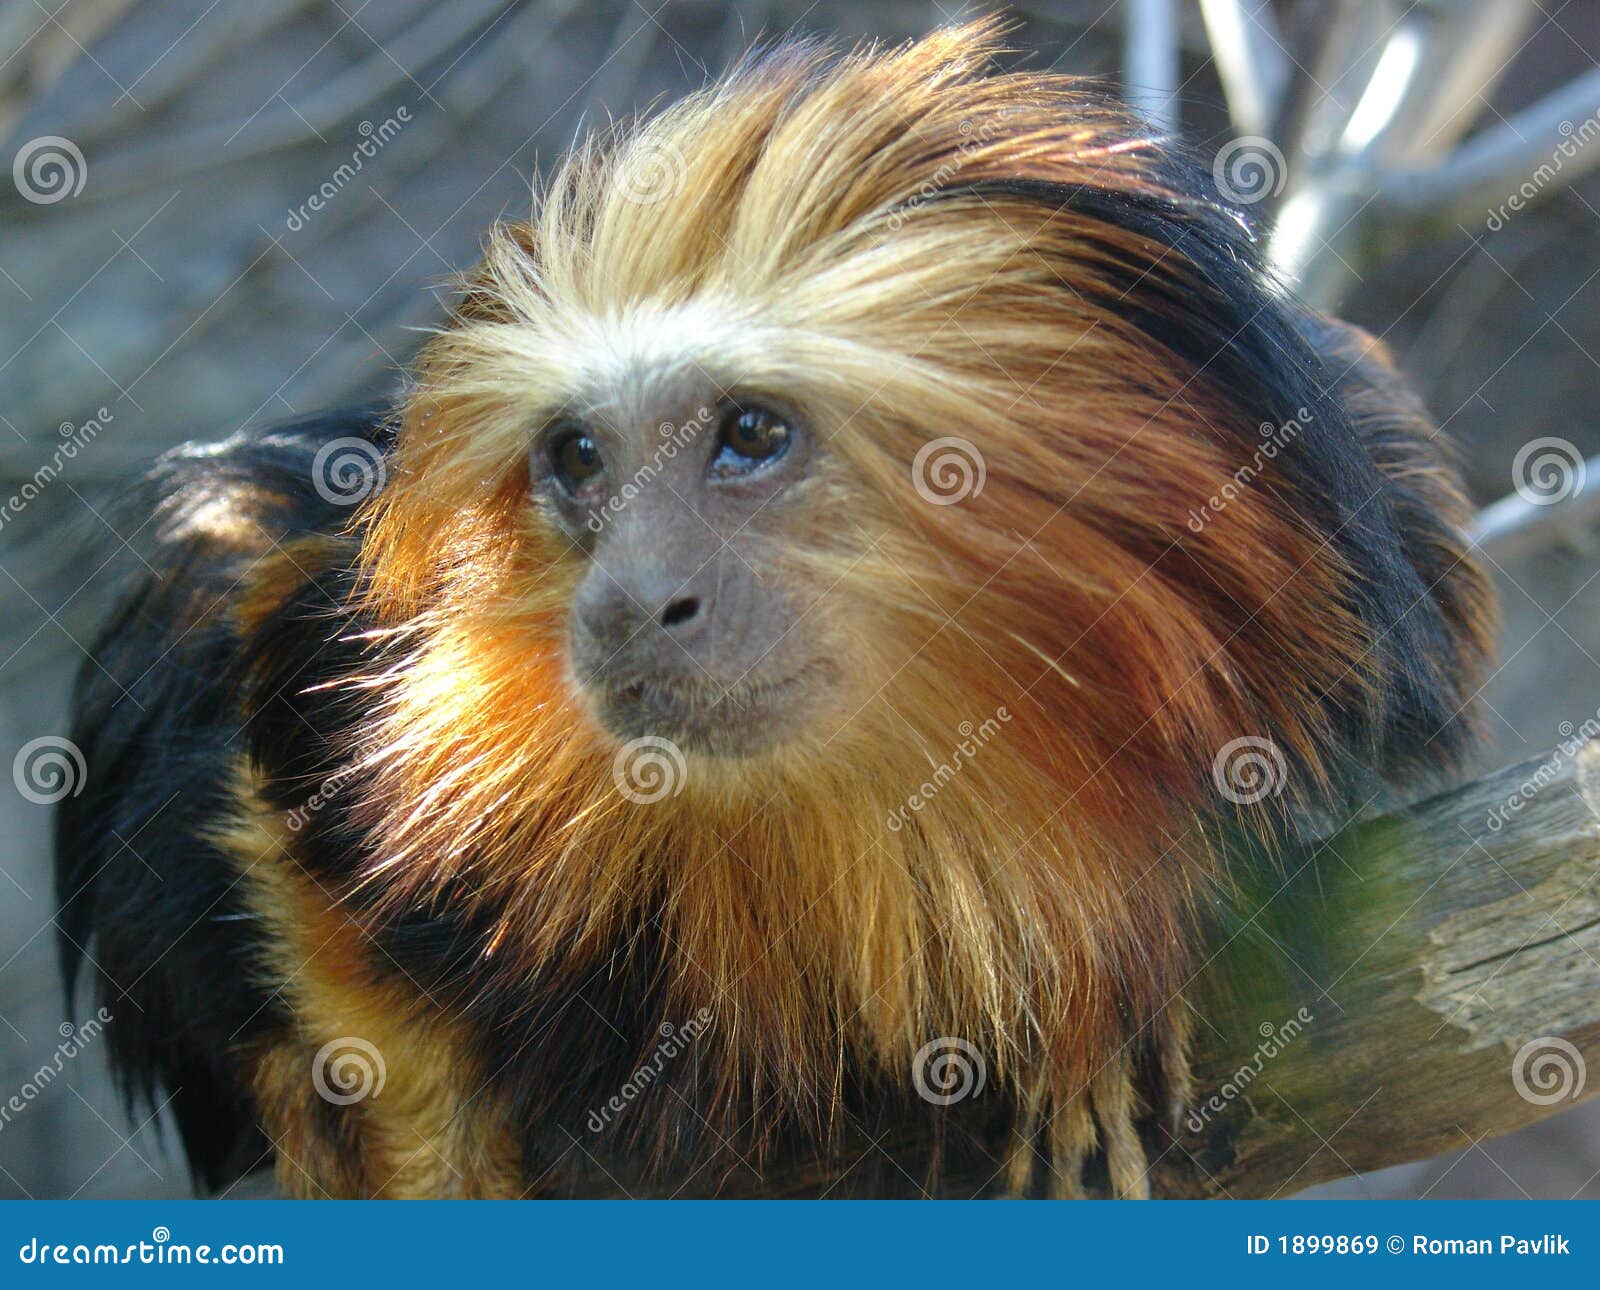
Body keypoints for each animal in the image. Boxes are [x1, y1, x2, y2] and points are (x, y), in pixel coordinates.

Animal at [55, 20, 1495, 1199]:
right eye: (580, 459)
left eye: (750, 436)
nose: (630, 603)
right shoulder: (352, 647)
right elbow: (260, 721)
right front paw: (422, 1138)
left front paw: (1085, 1033)